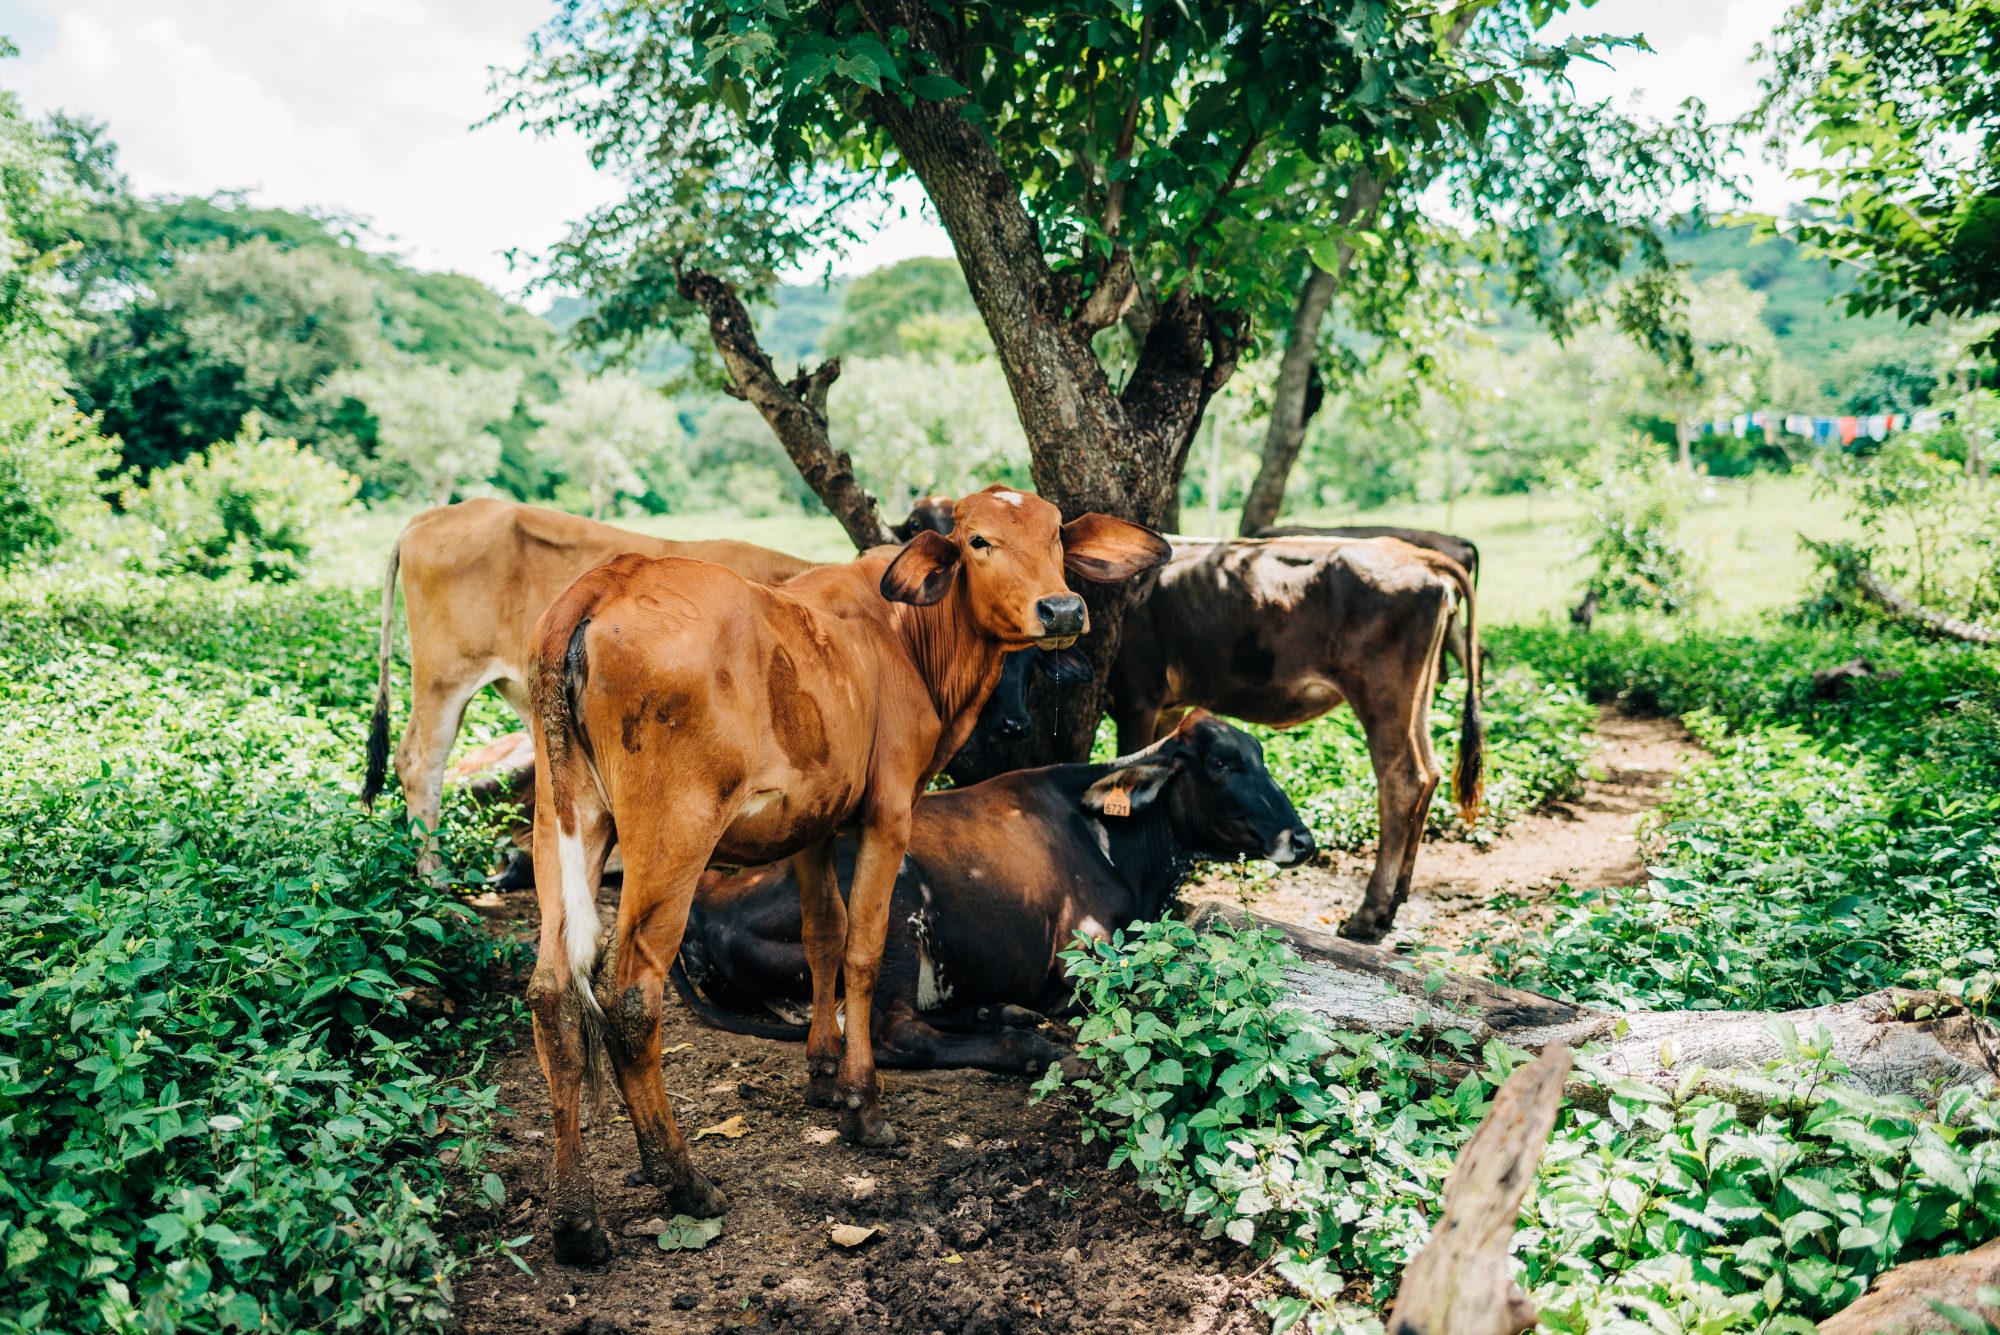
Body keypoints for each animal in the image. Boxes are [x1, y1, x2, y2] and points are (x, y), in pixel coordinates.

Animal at [524, 485, 1168, 1265]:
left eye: (1055, 536)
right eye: (979, 541)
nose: (1063, 609)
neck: (906, 637)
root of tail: (607, 580)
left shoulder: (813, 822)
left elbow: (824, 937)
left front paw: (824, 1071)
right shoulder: (890, 809)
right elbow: (863, 949)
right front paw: (863, 1103)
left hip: (565, 816)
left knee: (554, 993)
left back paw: (575, 1217)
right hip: (671, 832)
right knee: (630, 999)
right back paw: (680, 1179)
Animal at [669, 711, 1314, 1073]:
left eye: (1260, 755)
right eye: (1221, 763)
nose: (1302, 838)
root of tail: (702, 905)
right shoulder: (1079, 952)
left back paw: (1000, 1010)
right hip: (894, 903)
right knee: (895, 1031)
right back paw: (1033, 1048)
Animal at [1107, 535, 1483, 943]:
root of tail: (1412, 553)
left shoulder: (1138, 700)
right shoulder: (1168, 710)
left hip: (1382, 696)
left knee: (1402, 781)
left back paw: (1368, 914)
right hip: (1419, 696)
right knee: (1429, 772)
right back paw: (1393, 902)